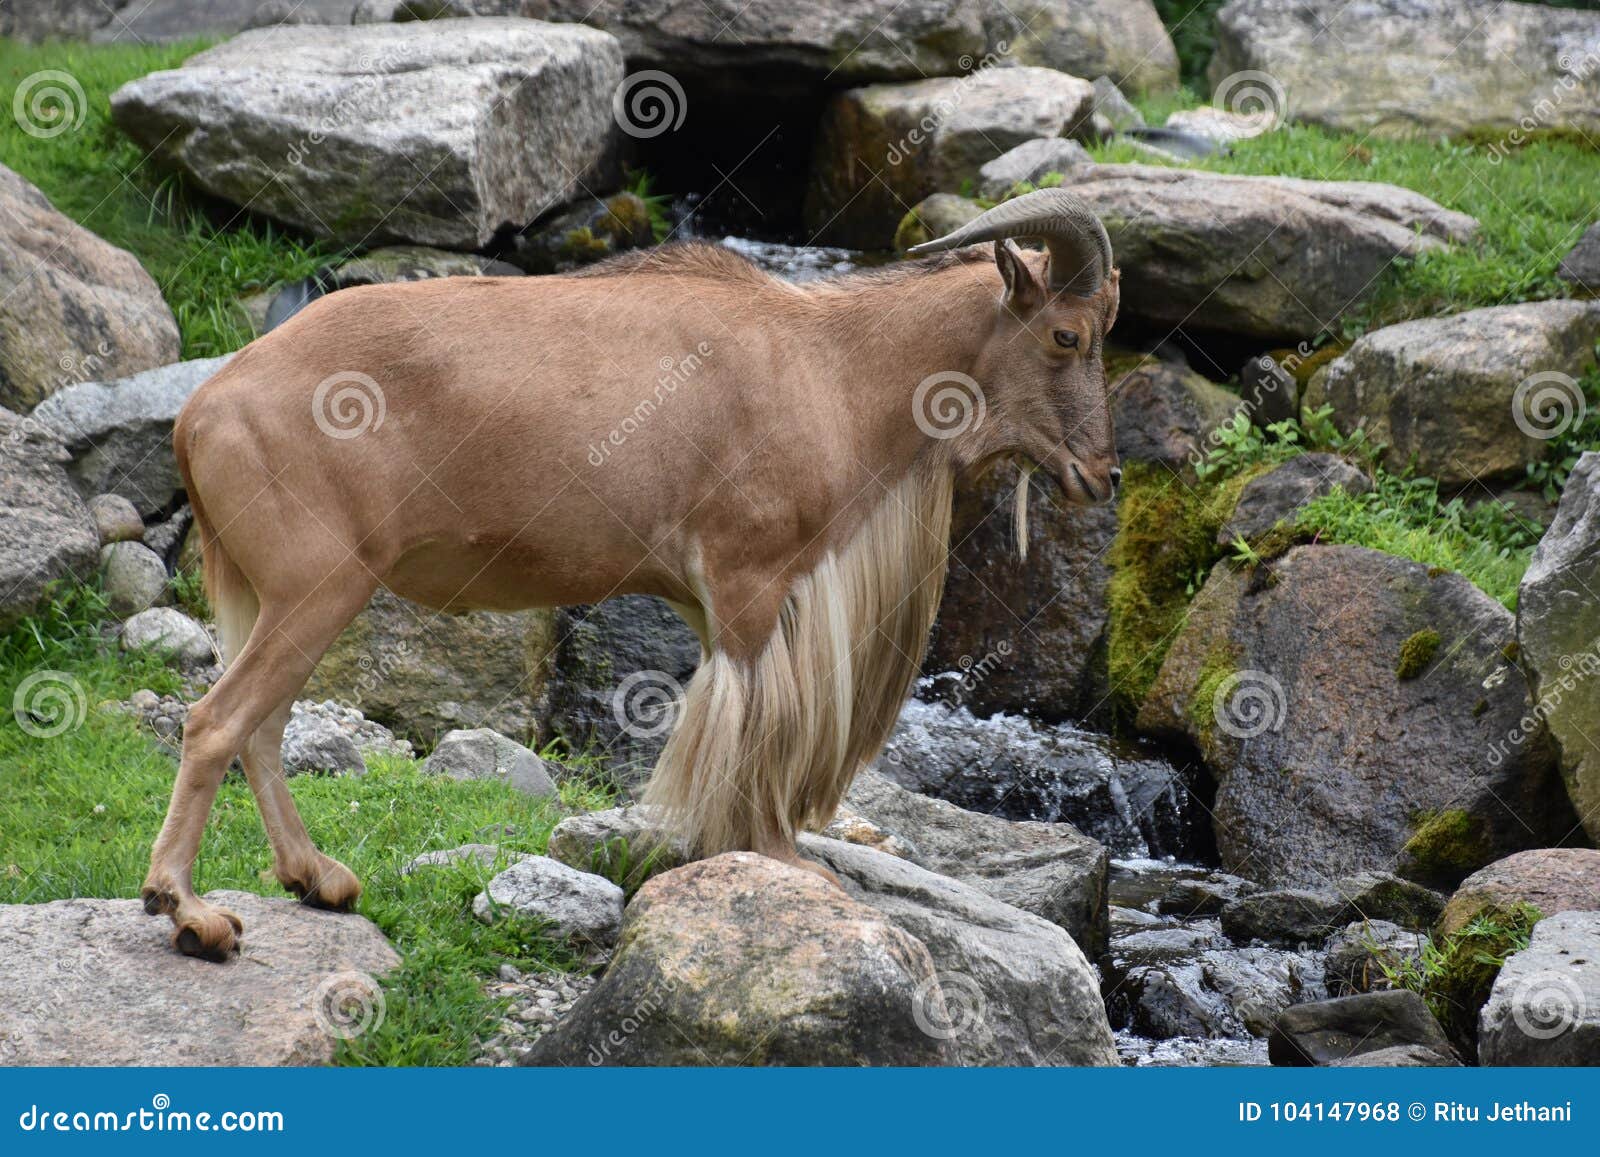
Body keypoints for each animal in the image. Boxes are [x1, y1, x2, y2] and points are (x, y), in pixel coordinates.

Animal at [142, 189, 1121, 959]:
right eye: (1067, 334)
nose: (1102, 476)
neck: (832, 368)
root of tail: (200, 411)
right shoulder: (749, 583)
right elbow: (755, 732)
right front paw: (776, 858)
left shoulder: (711, 602)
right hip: (318, 588)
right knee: (217, 721)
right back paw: (188, 909)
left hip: (282, 598)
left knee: (262, 728)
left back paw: (316, 877)